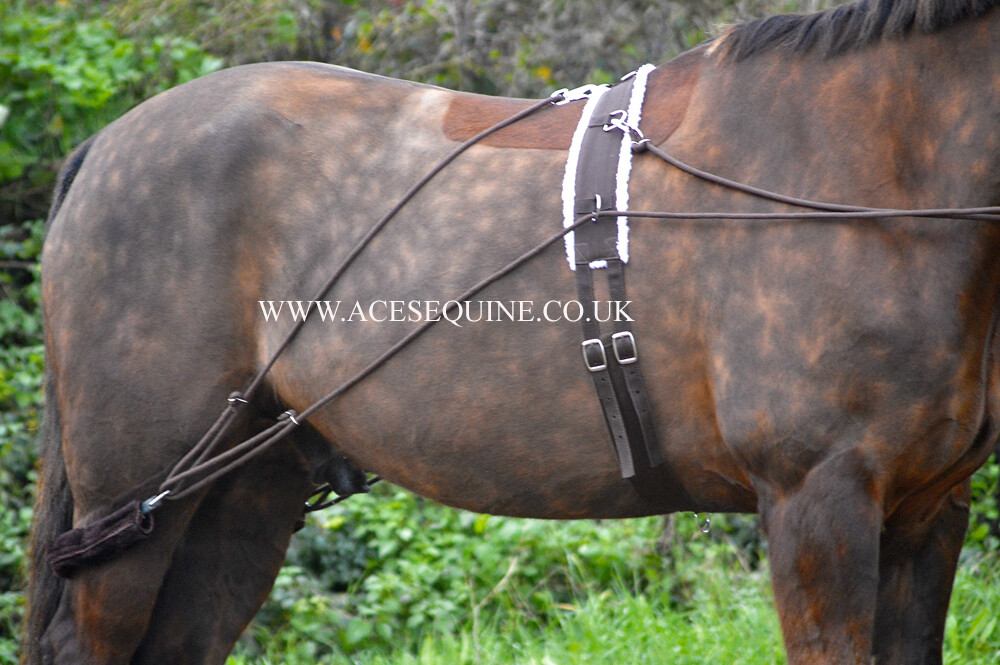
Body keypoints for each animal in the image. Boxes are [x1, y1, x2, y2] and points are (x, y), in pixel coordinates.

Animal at [25, 0, 1000, 663]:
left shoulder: (926, 509)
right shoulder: (816, 498)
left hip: (240, 492)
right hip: (135, 499)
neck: (867, 161)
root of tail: (105, 147)